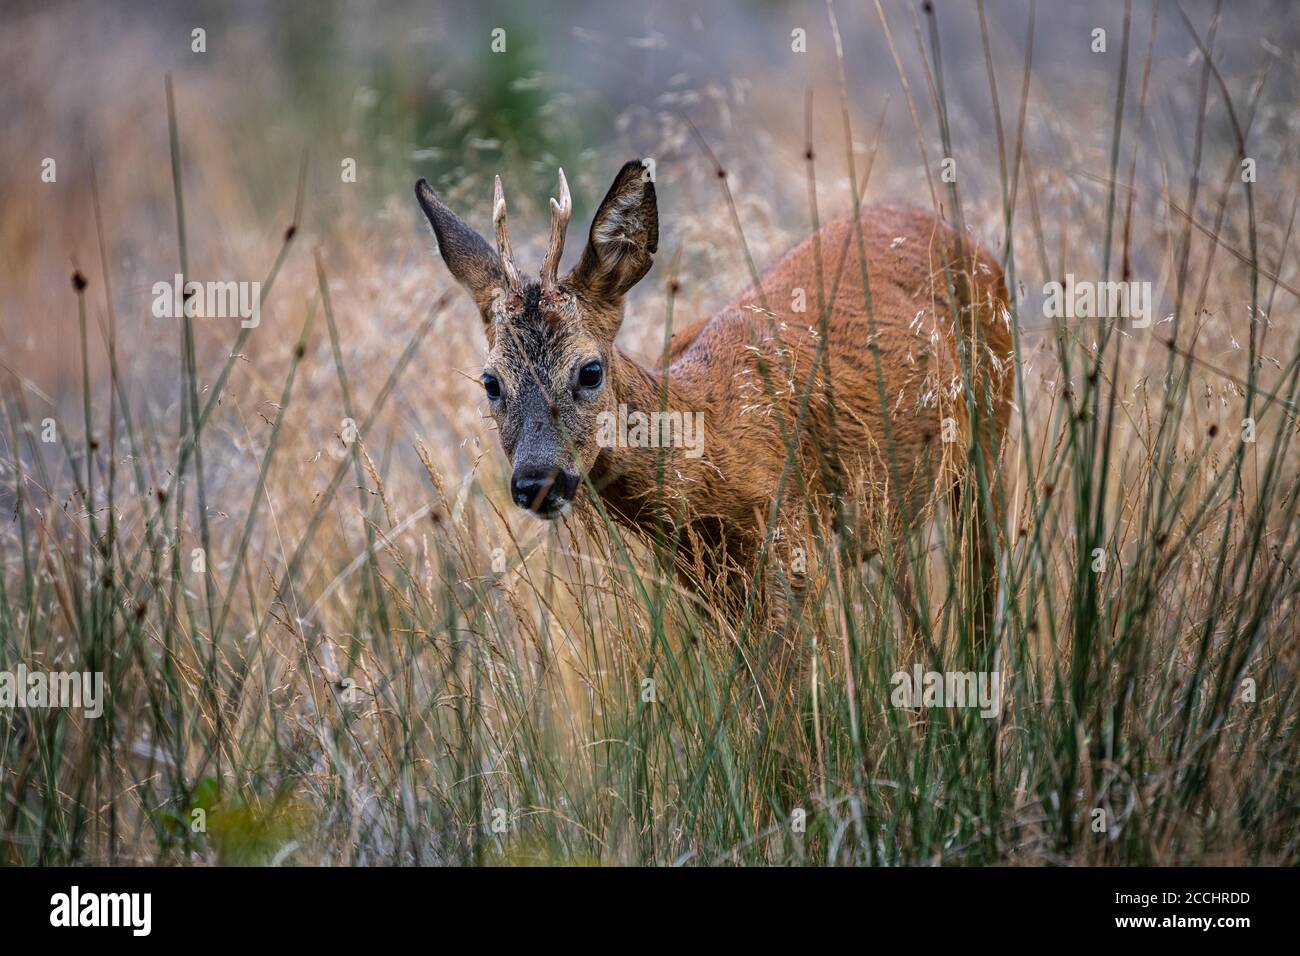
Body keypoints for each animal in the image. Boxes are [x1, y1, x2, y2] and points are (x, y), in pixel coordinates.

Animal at [415, 160, 1012, 706]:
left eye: (589, 371)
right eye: (490, 382)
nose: (537, 481)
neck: (712, 456)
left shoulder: (796, 555)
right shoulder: (705, 586)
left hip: (991, 429)